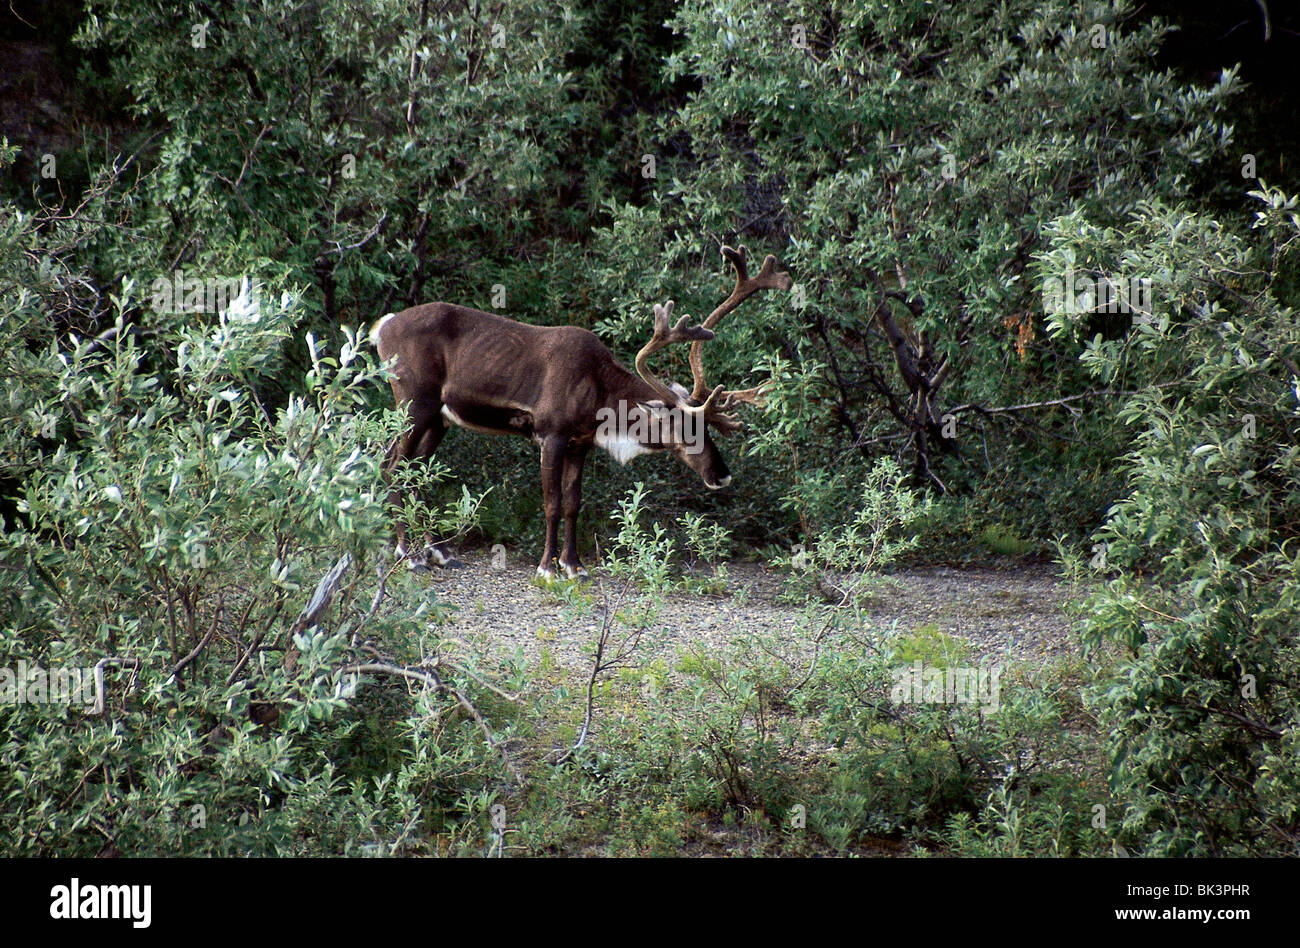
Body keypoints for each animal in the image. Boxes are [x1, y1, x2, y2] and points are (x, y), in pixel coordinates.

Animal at [369, 245, 792, 578]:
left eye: (708, 427)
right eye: (684, 428)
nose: (722, 475)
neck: (601, 399)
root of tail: (381, 327)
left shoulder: (580, 443)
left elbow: (574, 503)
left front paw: (574, 566)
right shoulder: (551, 435)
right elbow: (553, 503)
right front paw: (546, 568)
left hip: (440, 417)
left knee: (415, 469)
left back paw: (439, 551)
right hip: (413, 403)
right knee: (391, 463)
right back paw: (408, 555)